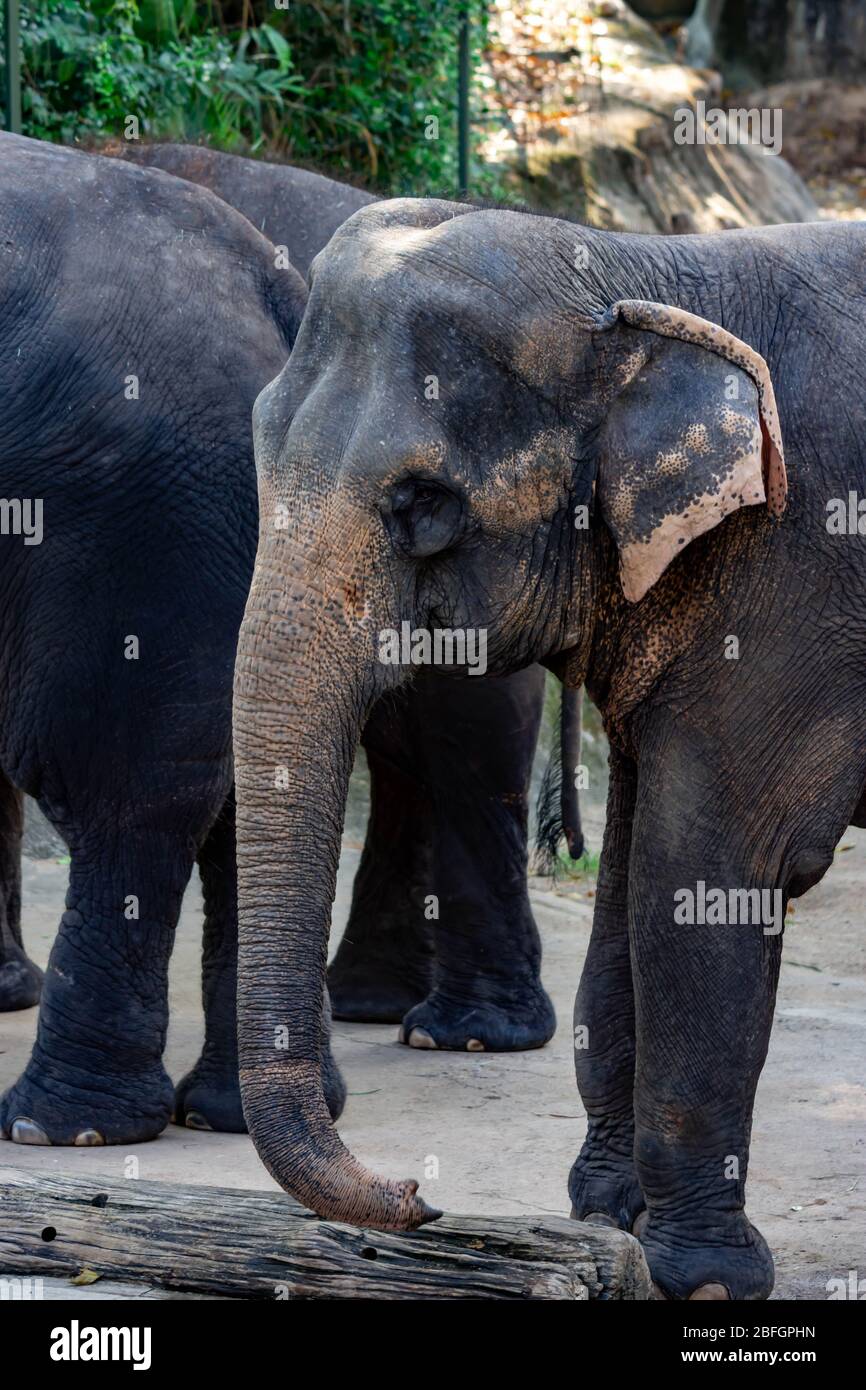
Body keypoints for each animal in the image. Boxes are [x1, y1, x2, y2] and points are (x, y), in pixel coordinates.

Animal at [232, 194, 866, 1301]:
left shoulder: (791, 576)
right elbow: (629, 877)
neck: (636, 274)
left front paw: (705, 1279)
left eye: (423, 503)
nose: (419, 1194)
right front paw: (608, 1215)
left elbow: (706, 876)